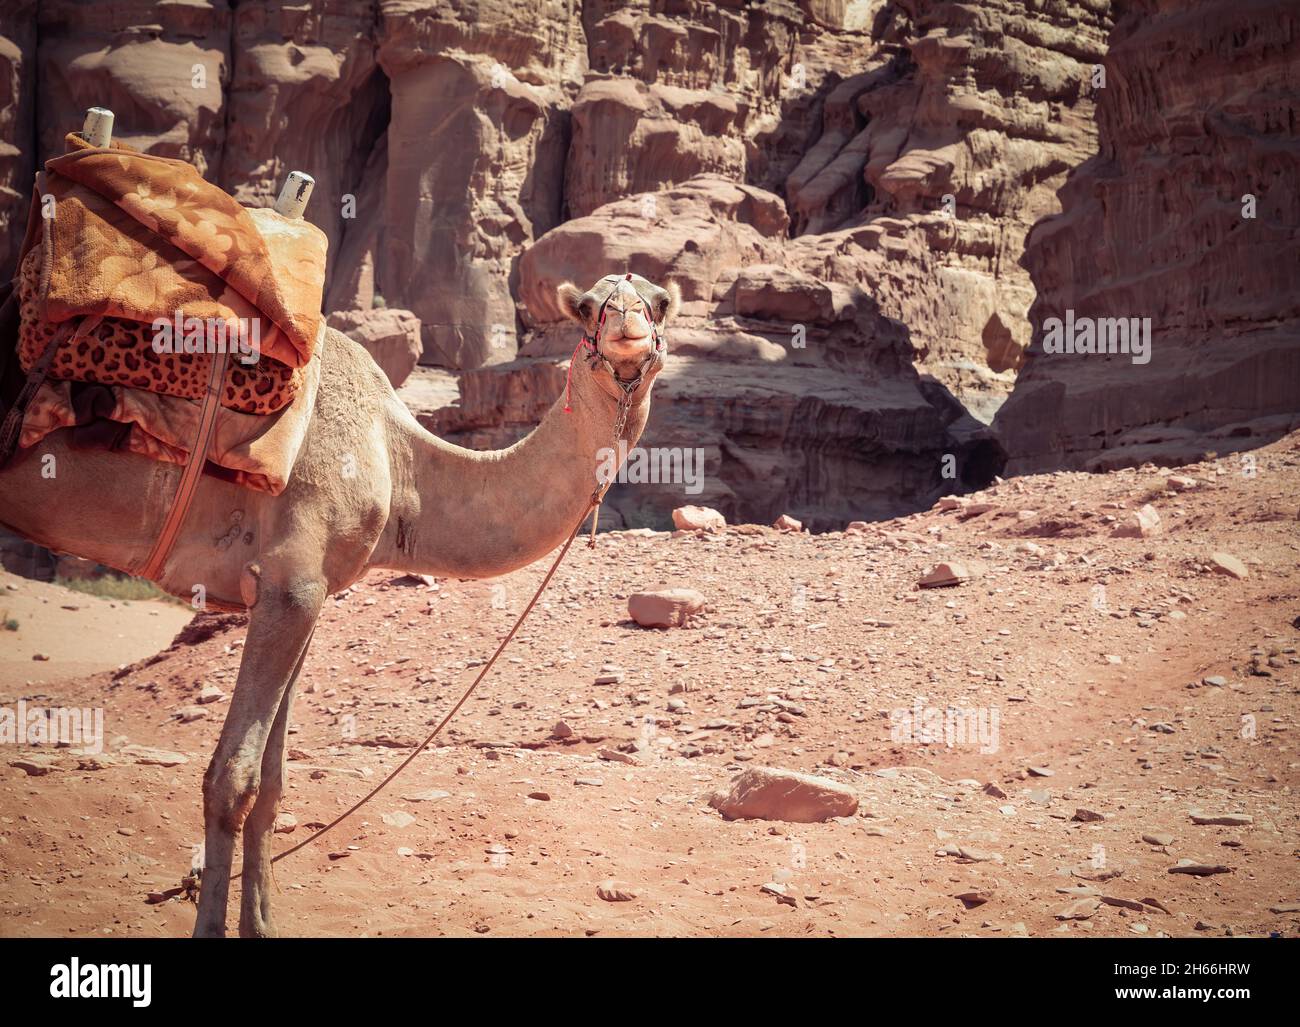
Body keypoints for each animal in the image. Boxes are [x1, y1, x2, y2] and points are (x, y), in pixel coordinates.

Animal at [0, 270, 679, 937]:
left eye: (661, 302)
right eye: (588, 306)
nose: (627, 323)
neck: (399, 463)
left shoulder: (304, 594)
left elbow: (272, 783)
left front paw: (262, 925)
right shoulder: (292, 579)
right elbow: (232, 779)